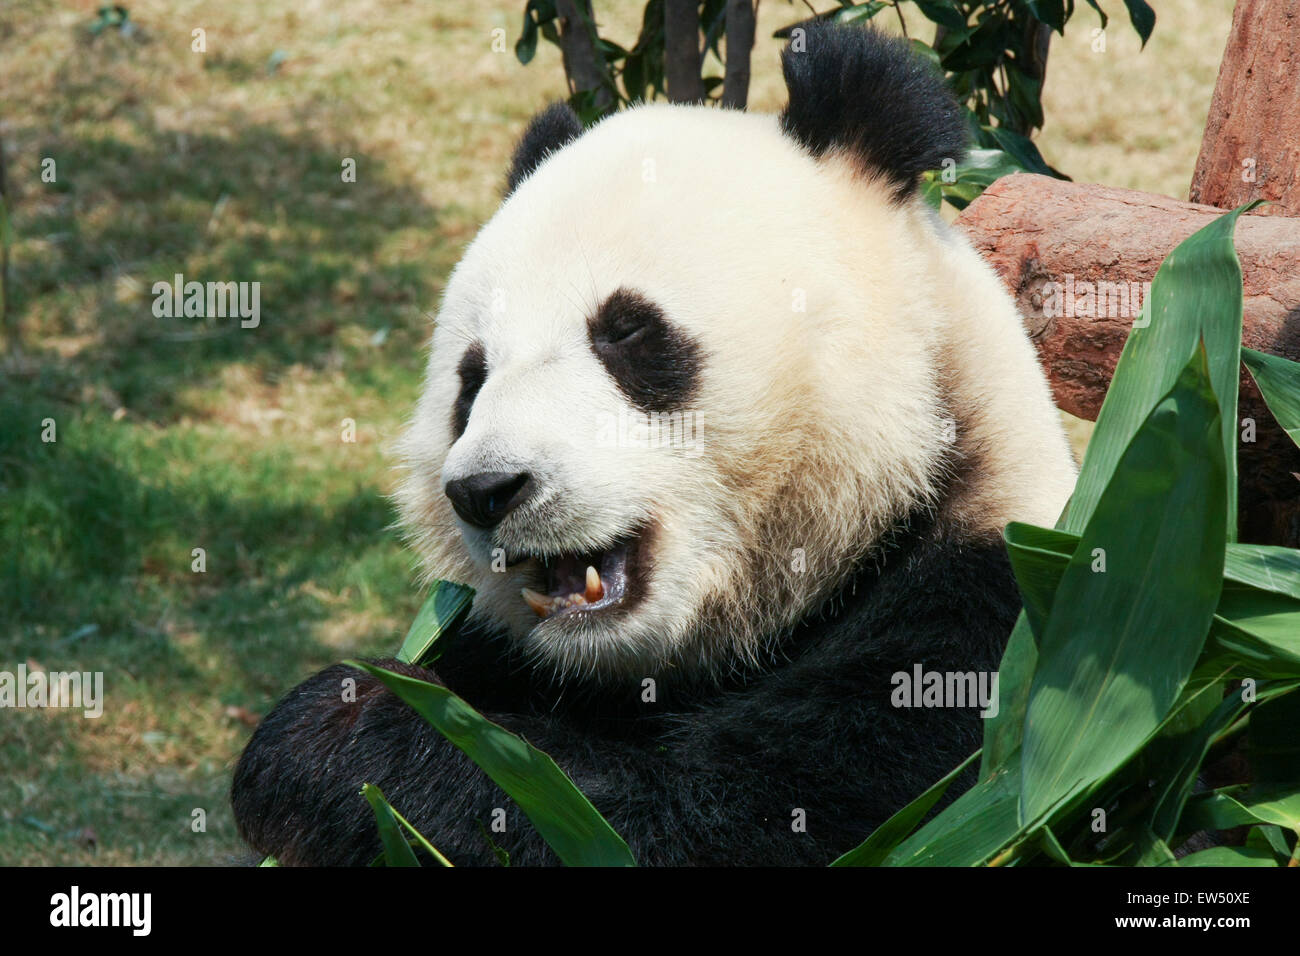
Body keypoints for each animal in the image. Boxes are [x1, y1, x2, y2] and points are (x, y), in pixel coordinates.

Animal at [231, 22, 1077, 866]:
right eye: (472, 379)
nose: (486, 491)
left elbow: (678, 821)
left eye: (628, 334)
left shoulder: (983, 642)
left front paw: (343, 729)